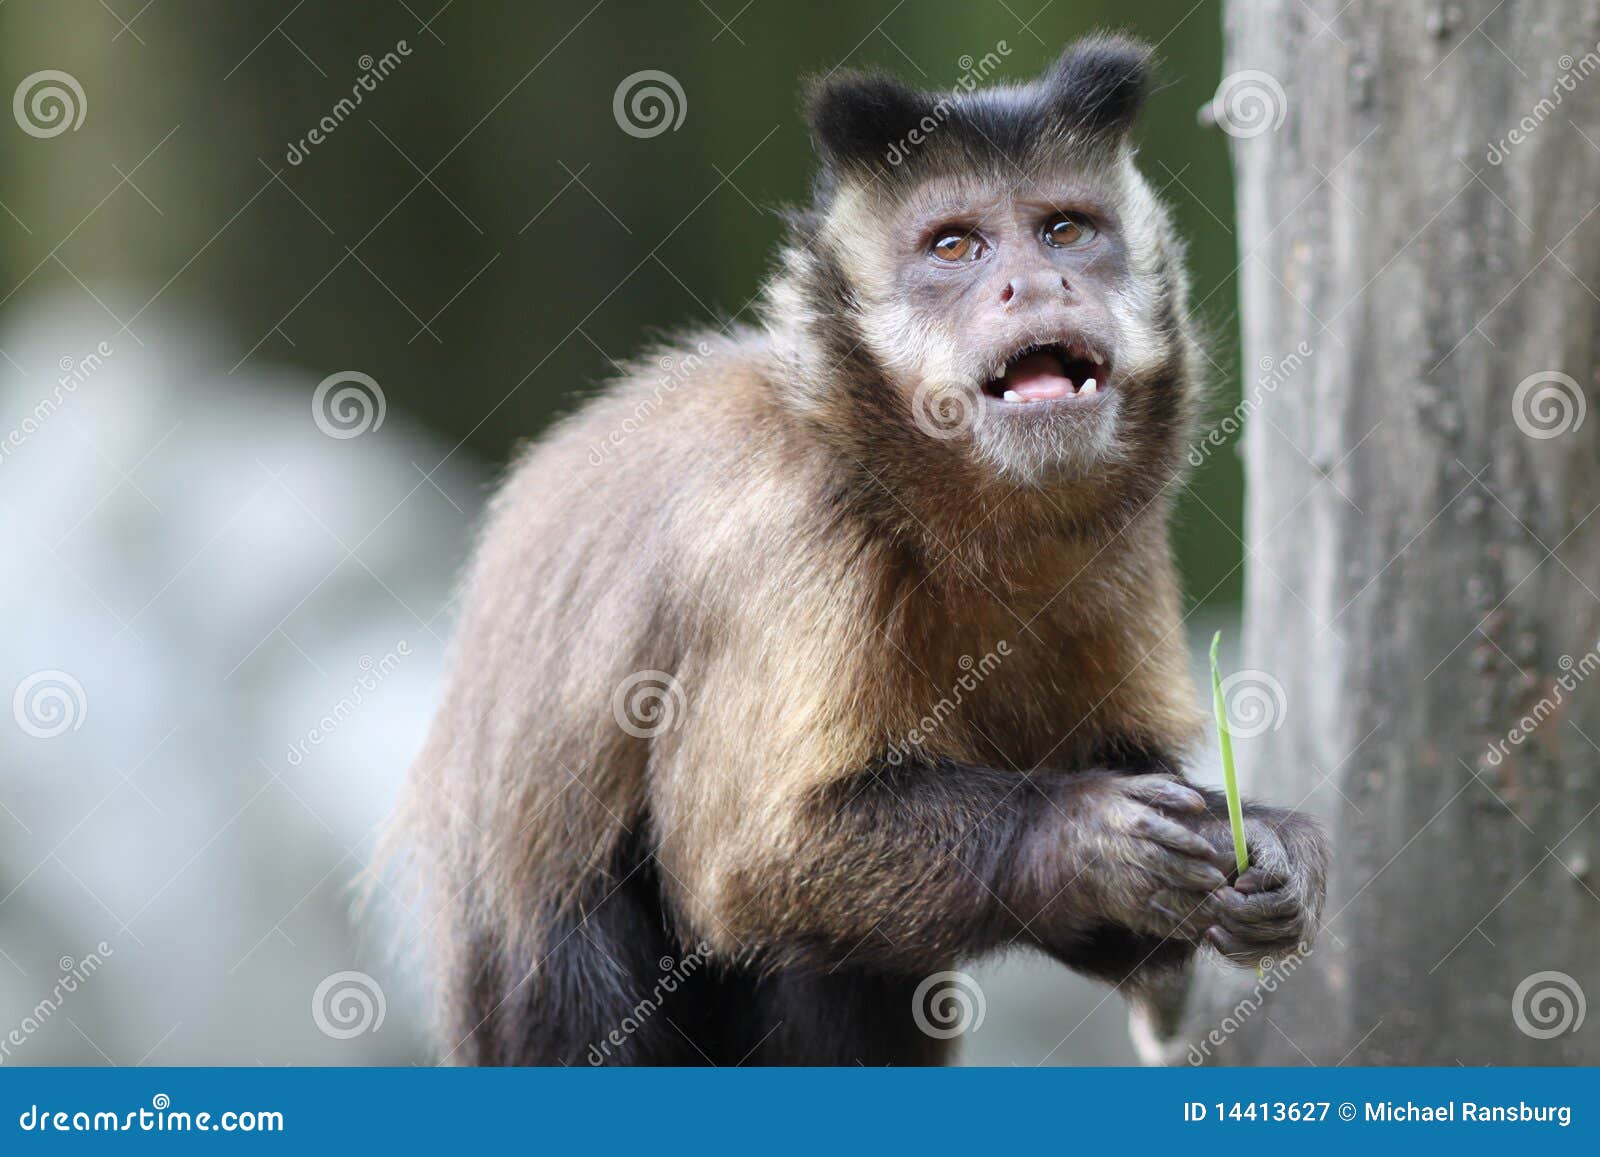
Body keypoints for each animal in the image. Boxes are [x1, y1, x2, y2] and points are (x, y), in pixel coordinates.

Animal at [388, 34, 1327, 1067]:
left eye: (1066, 231)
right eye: (956, 247)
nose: (1039, 284)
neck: (945, 512)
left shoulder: (1118, 543)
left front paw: (1269, 846)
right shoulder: (788, 532)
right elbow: (746, 862)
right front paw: (1085, 840)